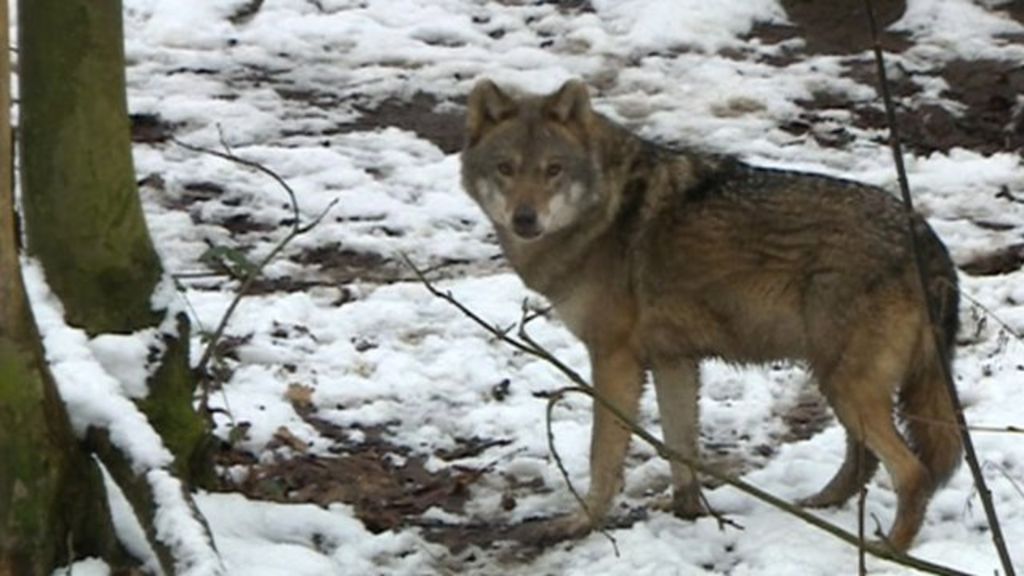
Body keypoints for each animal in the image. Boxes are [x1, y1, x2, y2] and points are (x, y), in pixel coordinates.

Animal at [460, 79, 962, 551]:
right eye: (505, 169)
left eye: (553, 170)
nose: (525, 219)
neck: (603, 213)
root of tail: (927, 238)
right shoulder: (673, 361)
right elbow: (681, 451)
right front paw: (689, 515)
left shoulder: (615, 360)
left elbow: (603, 457)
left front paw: (581, 523)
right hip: (840, 382)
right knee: (865, 460)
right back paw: (821, 507)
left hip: (846, 386)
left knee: (912, 472)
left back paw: (889, 550)